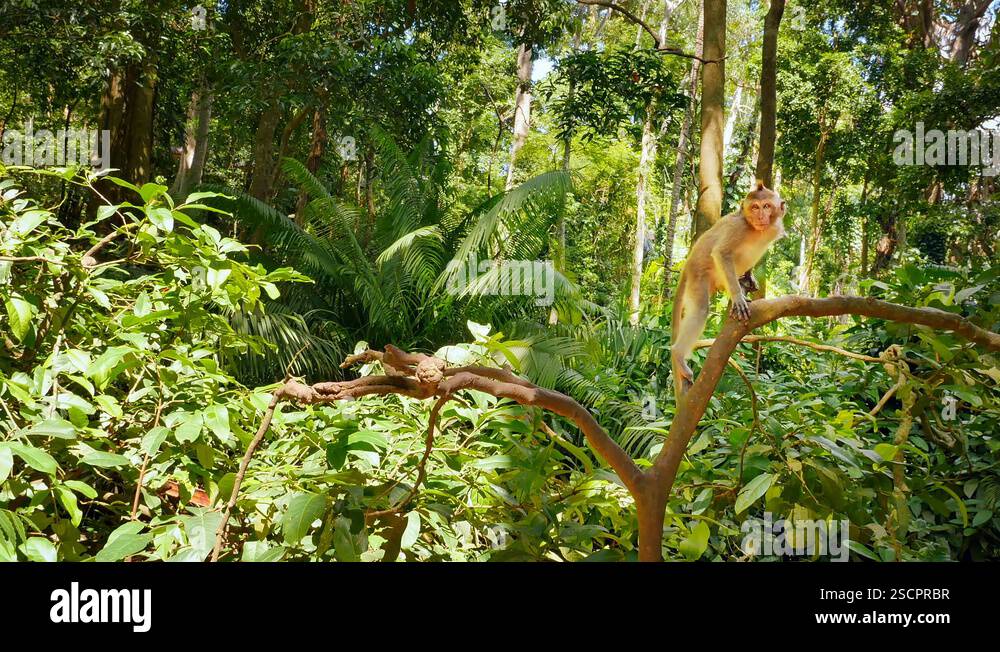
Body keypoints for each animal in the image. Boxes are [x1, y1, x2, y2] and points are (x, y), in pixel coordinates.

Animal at [671, 181, 786, 398]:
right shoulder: (737, 227)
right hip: (699, 276)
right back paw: (679, 355)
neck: (755, 230)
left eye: (766, 206)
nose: (760, 216)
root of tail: (687, 265)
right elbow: (722, 252)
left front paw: (749, 277)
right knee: (701, 309)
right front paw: (738, 298)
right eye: (755, 207)